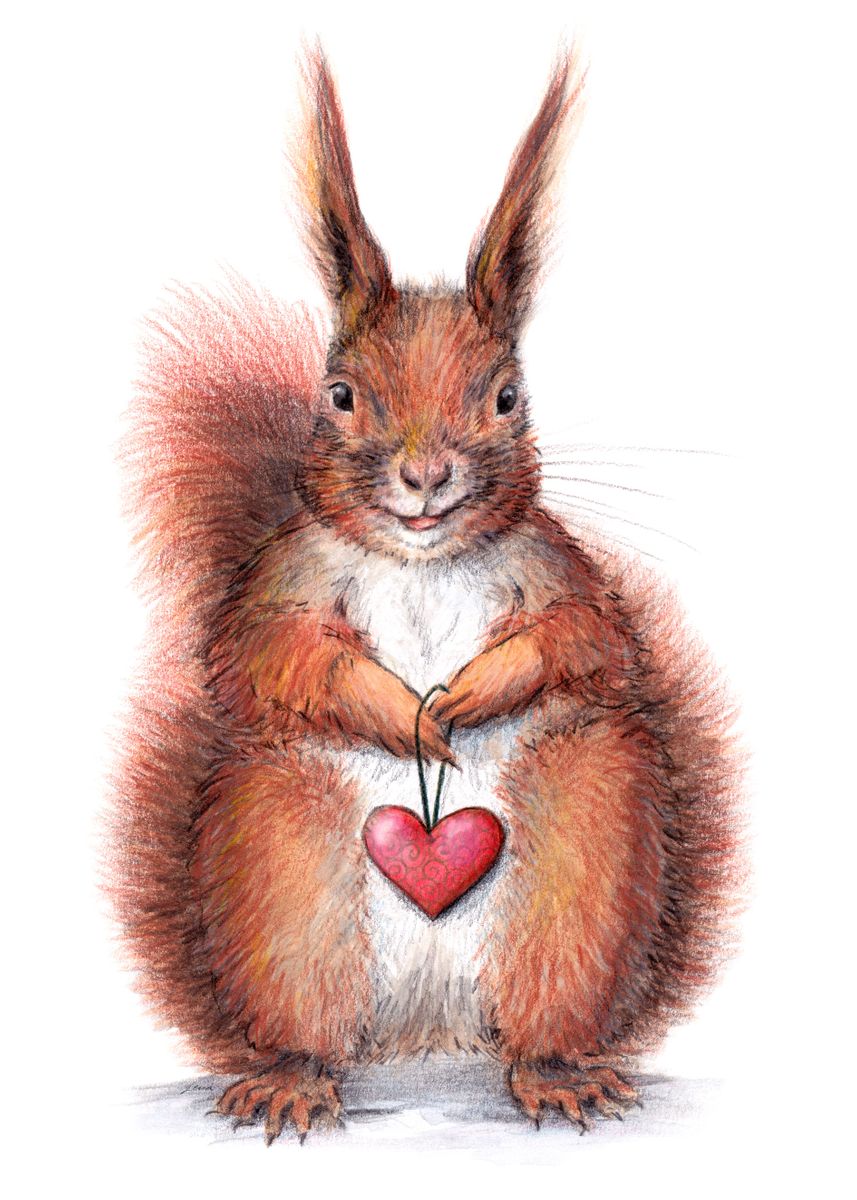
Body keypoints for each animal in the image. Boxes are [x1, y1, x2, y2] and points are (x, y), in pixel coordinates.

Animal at [111, 46, 742, 1142]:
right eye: (338, 395)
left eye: (507, 397)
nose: (424, 477)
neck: (420, 560)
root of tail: (427, 1036)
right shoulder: (280, 585)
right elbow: (275, 653)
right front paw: (407, 716)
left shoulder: (558, 575)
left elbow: (577, 640)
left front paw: (462, 699)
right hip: (283, 878)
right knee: (309, 1022)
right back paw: (292, 1080)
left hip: (578, 869)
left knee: (541, 1014)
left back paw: (558, 1075)